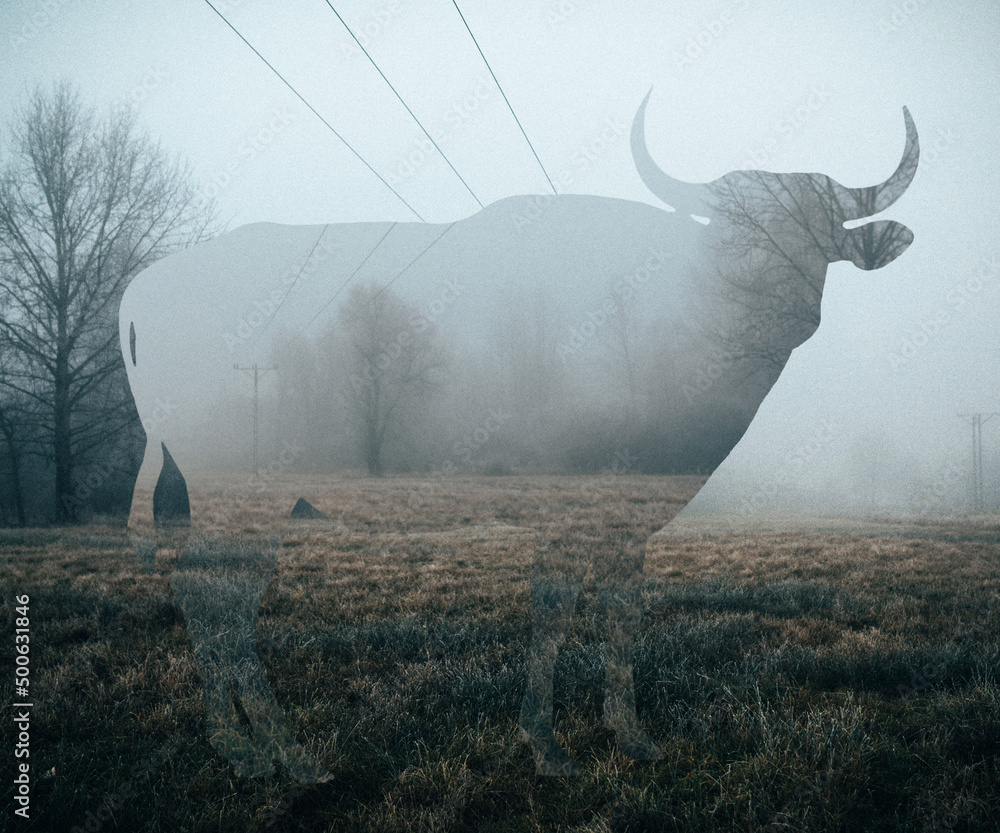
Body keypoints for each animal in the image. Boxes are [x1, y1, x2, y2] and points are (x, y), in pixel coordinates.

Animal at [120, 91, 918, 780]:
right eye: (743, 236)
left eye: (823, 236)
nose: (792, 306)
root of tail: (138, 290)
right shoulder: (567, 505)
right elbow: (554, 609)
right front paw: (548, 745)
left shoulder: (627, 516)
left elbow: (620, 612)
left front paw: (631, 735)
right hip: (237, 490)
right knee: (214, 594)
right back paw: (271, 749)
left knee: (217, 593)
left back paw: (250, 743)